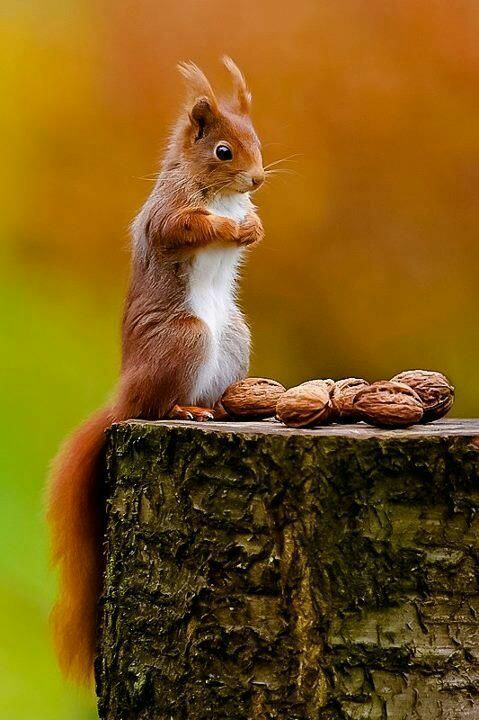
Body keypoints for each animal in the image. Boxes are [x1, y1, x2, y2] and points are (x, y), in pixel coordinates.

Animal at [47, 57, 265, 685]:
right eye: (223, 151)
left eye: (259, 141)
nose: (258, 181)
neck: (218, 195)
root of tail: (126, 397)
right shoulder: (168, 209)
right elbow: (183, 228)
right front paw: (233, 229)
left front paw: (254, 226)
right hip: (184, 341)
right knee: (156, 406)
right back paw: (185, 408)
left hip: (234, 342)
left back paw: (220, 407)